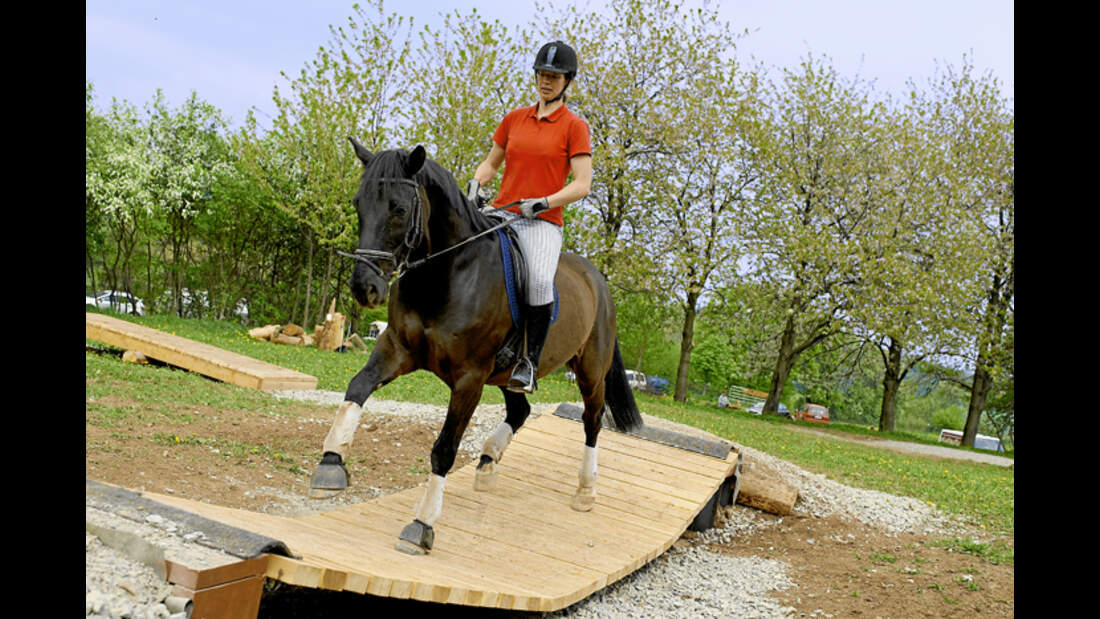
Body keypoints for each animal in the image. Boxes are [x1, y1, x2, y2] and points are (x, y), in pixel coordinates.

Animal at [309, 138, 644, 555]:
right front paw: (330, 464)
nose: (364, 288)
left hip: (590, 372)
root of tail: (596, 278)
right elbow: (357, 388)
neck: (447, 271)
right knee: (520, 410)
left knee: (592, 420)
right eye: (358, 203)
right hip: (507, 374)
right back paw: (488, 461)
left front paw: (421, 525)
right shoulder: (397, 349)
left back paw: (585, 491)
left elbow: (444, 447)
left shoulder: (469, 377)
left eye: (400, 208)